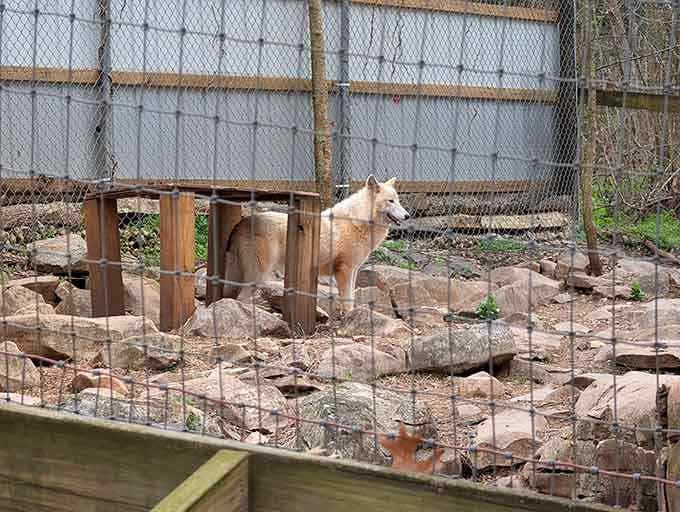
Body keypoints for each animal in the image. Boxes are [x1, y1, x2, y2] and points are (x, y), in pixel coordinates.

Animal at [223, 175, 410, 312]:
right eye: (391, 201)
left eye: (398, 201)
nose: (408, 216)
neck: (359, 220)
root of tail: (242, 222)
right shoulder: (344, 270)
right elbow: (348, 300)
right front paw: (350, 317)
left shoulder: (354, 270)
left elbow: (352, 297)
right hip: (259, 274)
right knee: (241, 298)